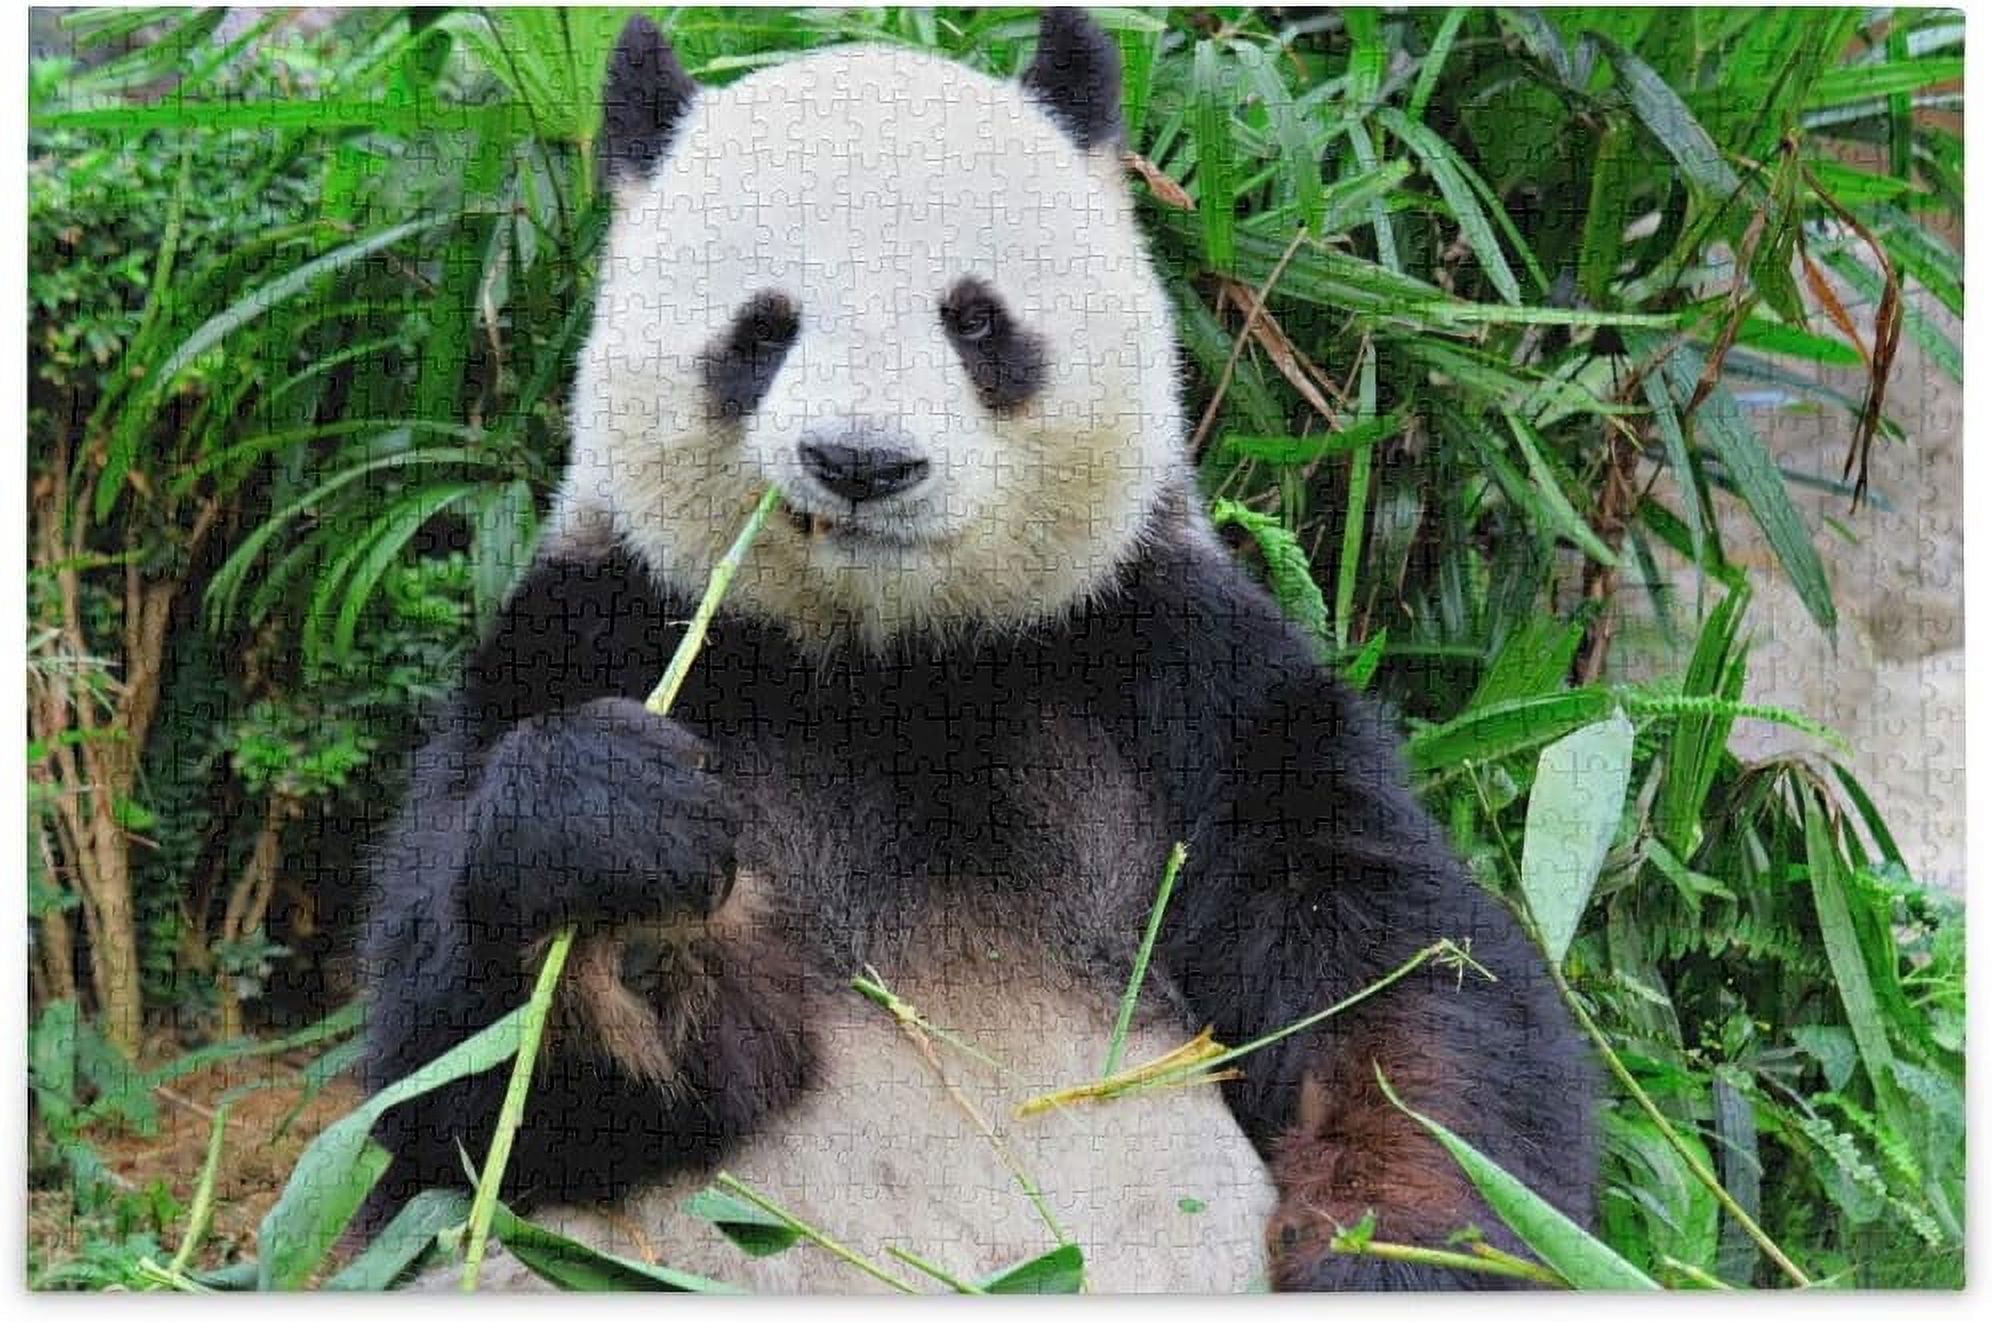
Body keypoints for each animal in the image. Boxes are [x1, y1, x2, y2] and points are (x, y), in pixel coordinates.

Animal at [362, 8, 1596, 1293]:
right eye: (763, 328)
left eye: (975, 319)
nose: (861, 462)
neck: (895, 663)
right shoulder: (604, 627)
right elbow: (473, 1089)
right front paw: (621, 868)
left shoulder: (1172, 670)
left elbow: (1397, 986)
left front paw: (1394, 1249)